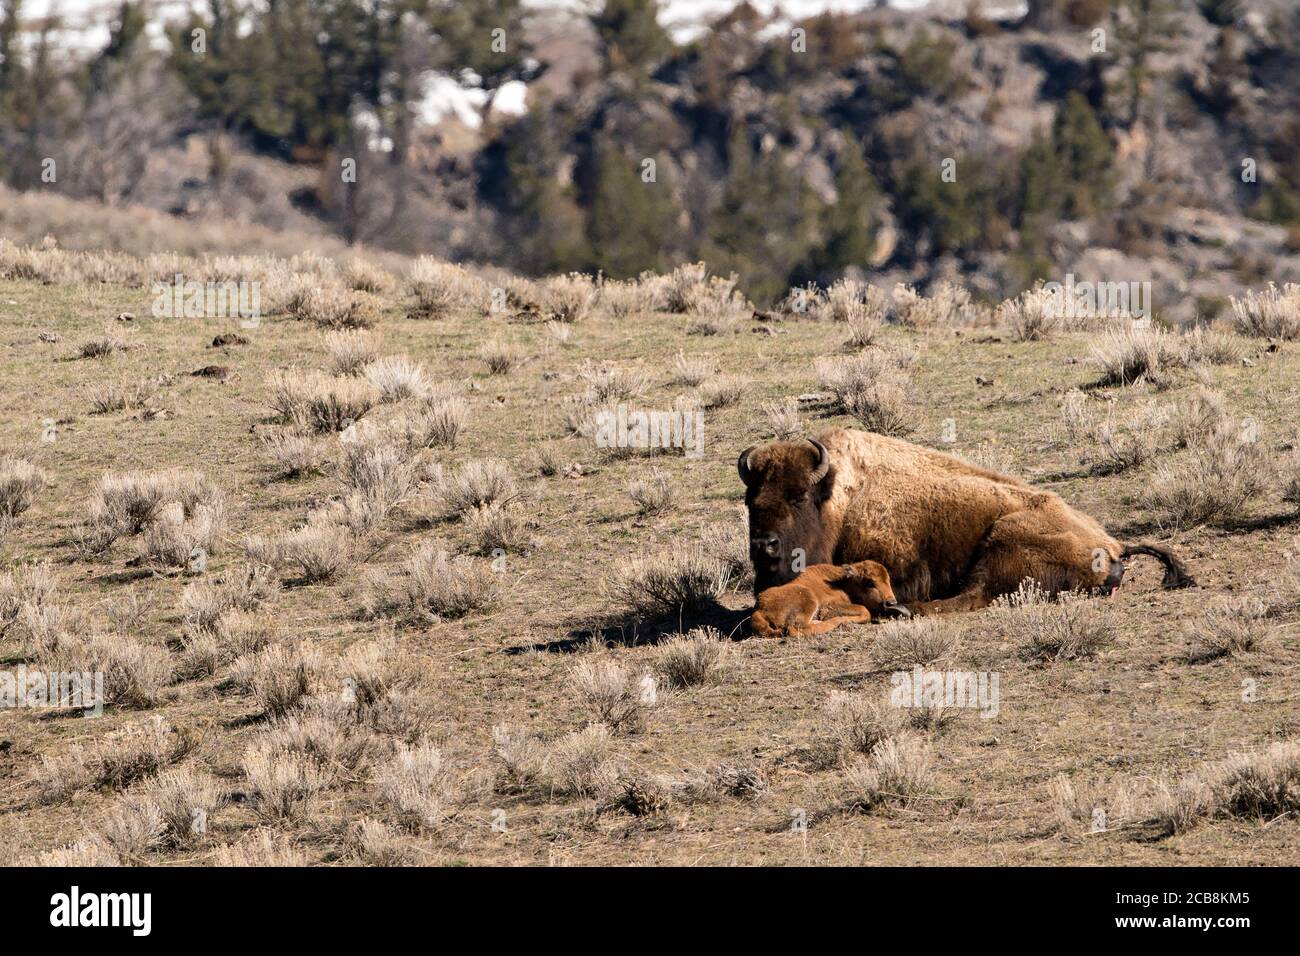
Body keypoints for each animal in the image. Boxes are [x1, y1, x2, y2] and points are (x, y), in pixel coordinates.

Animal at [737, 428, 1193, 615]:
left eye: (798, 496)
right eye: (750, 500)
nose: (764, 545)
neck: (843, 497)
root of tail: (1114, 545)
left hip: (1003, 543)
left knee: (971, 597)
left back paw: (903, 611)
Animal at [750, 559, 911, 640]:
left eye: (888, 580)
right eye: (870, 582)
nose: (891, 602)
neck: (843, 582)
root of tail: (759, 608)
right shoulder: (829, 605)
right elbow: (865, 611)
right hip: (809, 598)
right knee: (794, 629)